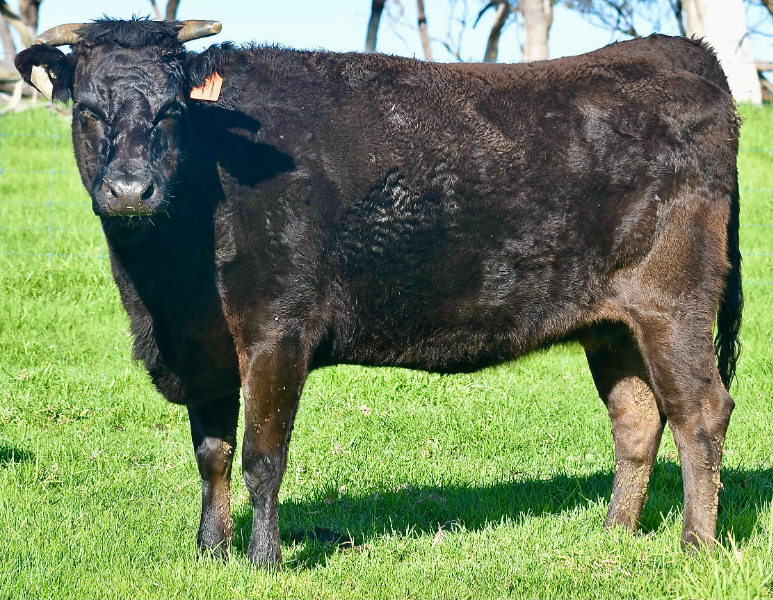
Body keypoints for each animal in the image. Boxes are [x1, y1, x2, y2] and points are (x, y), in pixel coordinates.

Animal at [15, 18, 742, 567]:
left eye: (170, 111)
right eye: (87, 110)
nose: (130, 190)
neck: (164, 289)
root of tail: (676, 50)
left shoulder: (277, 330)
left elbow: (262, 456)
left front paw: (262, 562)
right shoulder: (203, 348)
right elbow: (212, 456)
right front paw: (209, 554)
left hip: (671, 302)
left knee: (700, 412)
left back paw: (695, 548)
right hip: (612, 323)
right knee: (636, 416)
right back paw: (613, 536)